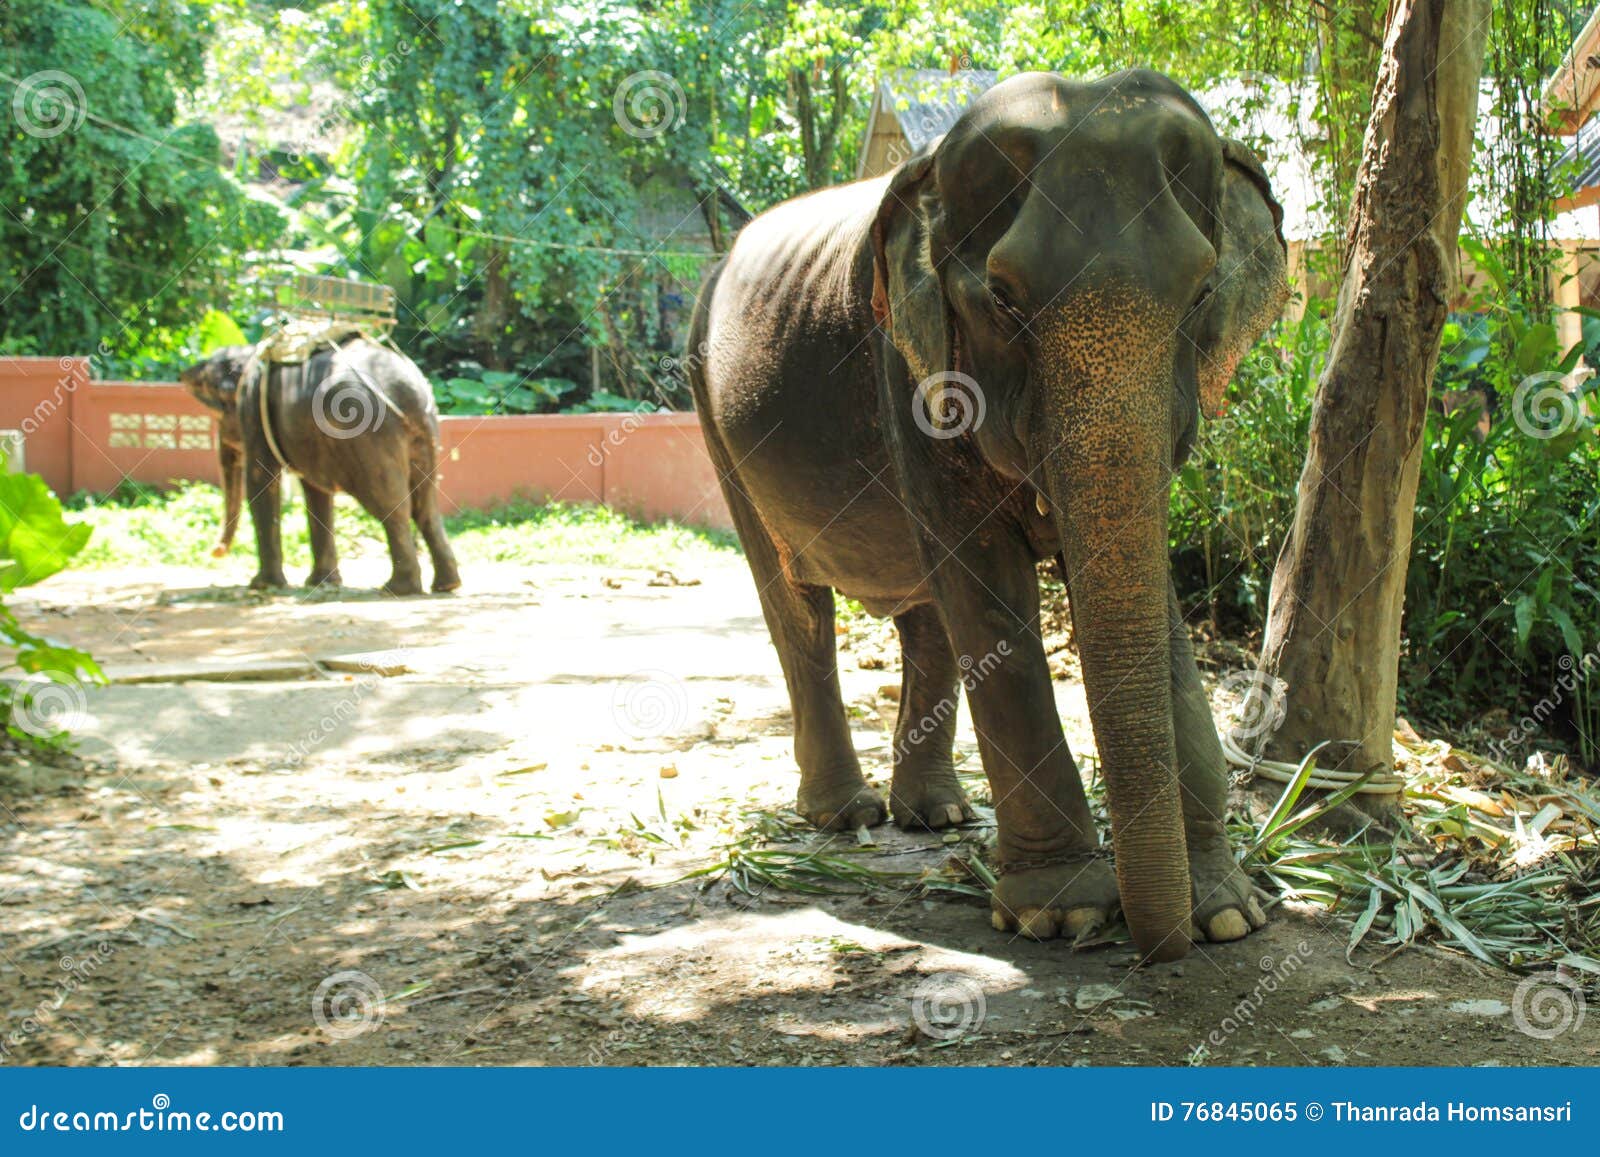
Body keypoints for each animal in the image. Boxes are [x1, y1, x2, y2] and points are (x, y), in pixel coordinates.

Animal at [180, 337, 461, 596]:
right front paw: (322, 582)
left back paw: (398, 588)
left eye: (220, 412)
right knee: (426, 506)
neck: (250, 352)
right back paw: (446, 585)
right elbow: (315, 490)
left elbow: (261, 481)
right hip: (426, 429)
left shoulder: (253, 408)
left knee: (392, 505)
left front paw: (262, 585)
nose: (215, 552)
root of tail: (407, 389)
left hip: (369, 434)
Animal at [688, 70, 1289, 962]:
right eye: (1003, 300)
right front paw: (1063, 914)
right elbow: (988, 588)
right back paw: (845, 814)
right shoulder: (904, 367)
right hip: (711, 418)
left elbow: (1138, 598)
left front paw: (1226, 911)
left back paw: (935, 813)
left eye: (1204, 293)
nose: (1159, 944)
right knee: (799, 610)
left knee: (924, 616)